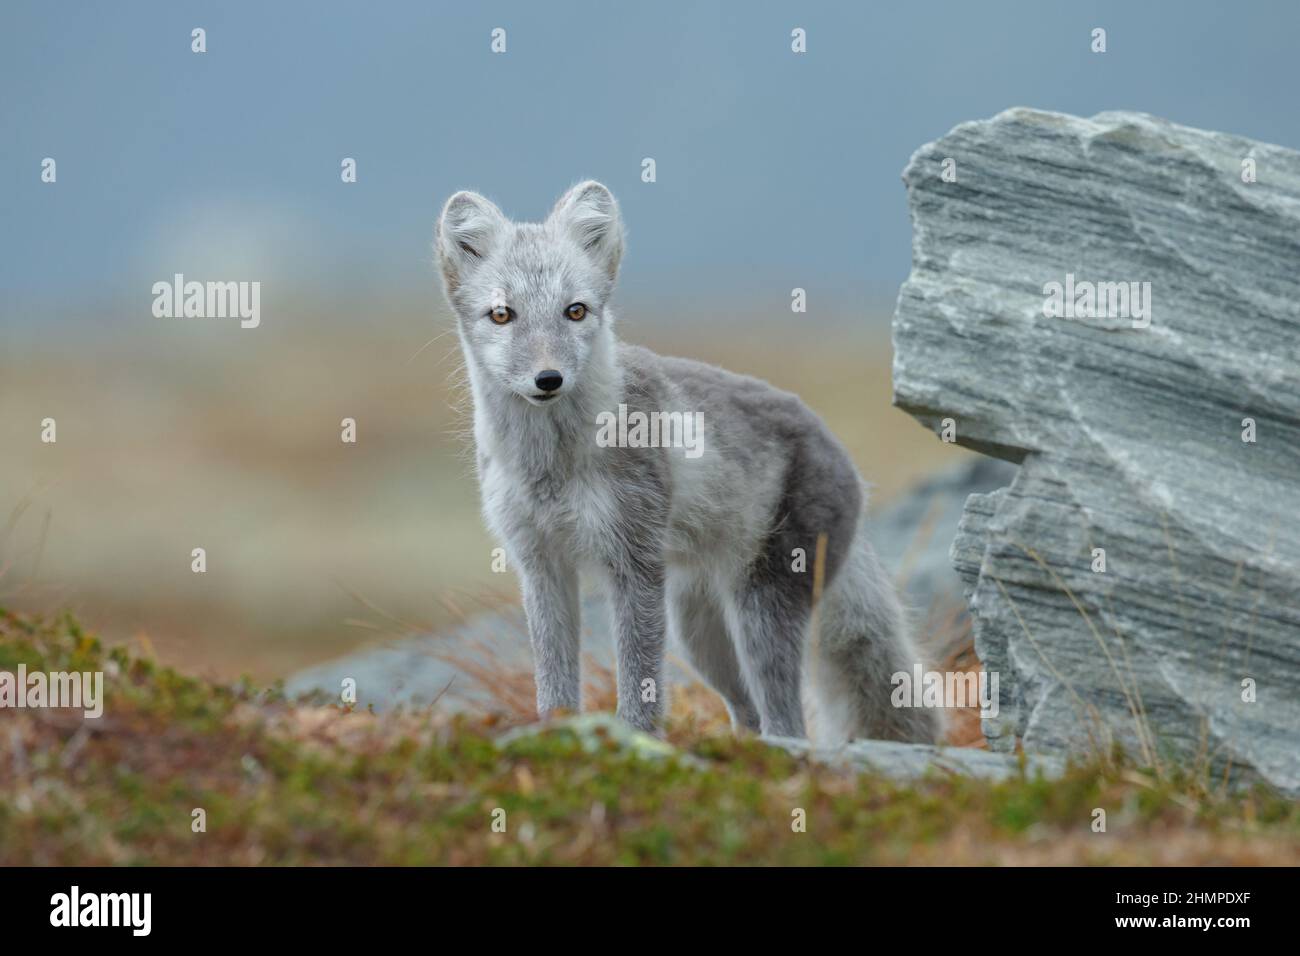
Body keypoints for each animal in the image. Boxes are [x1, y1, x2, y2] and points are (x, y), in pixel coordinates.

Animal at [436, 181, 940, 745]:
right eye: (502, 314)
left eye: (576, 311)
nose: (549, 378)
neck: (550, 467)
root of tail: (848, 464)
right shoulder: (540, 563)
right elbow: (554, 679)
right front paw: (557, 733)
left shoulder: (634, 563)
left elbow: (640, 682)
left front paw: (634, 741)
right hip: (696, 630)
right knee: (749, 714)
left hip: (760, 609)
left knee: (788, 724)